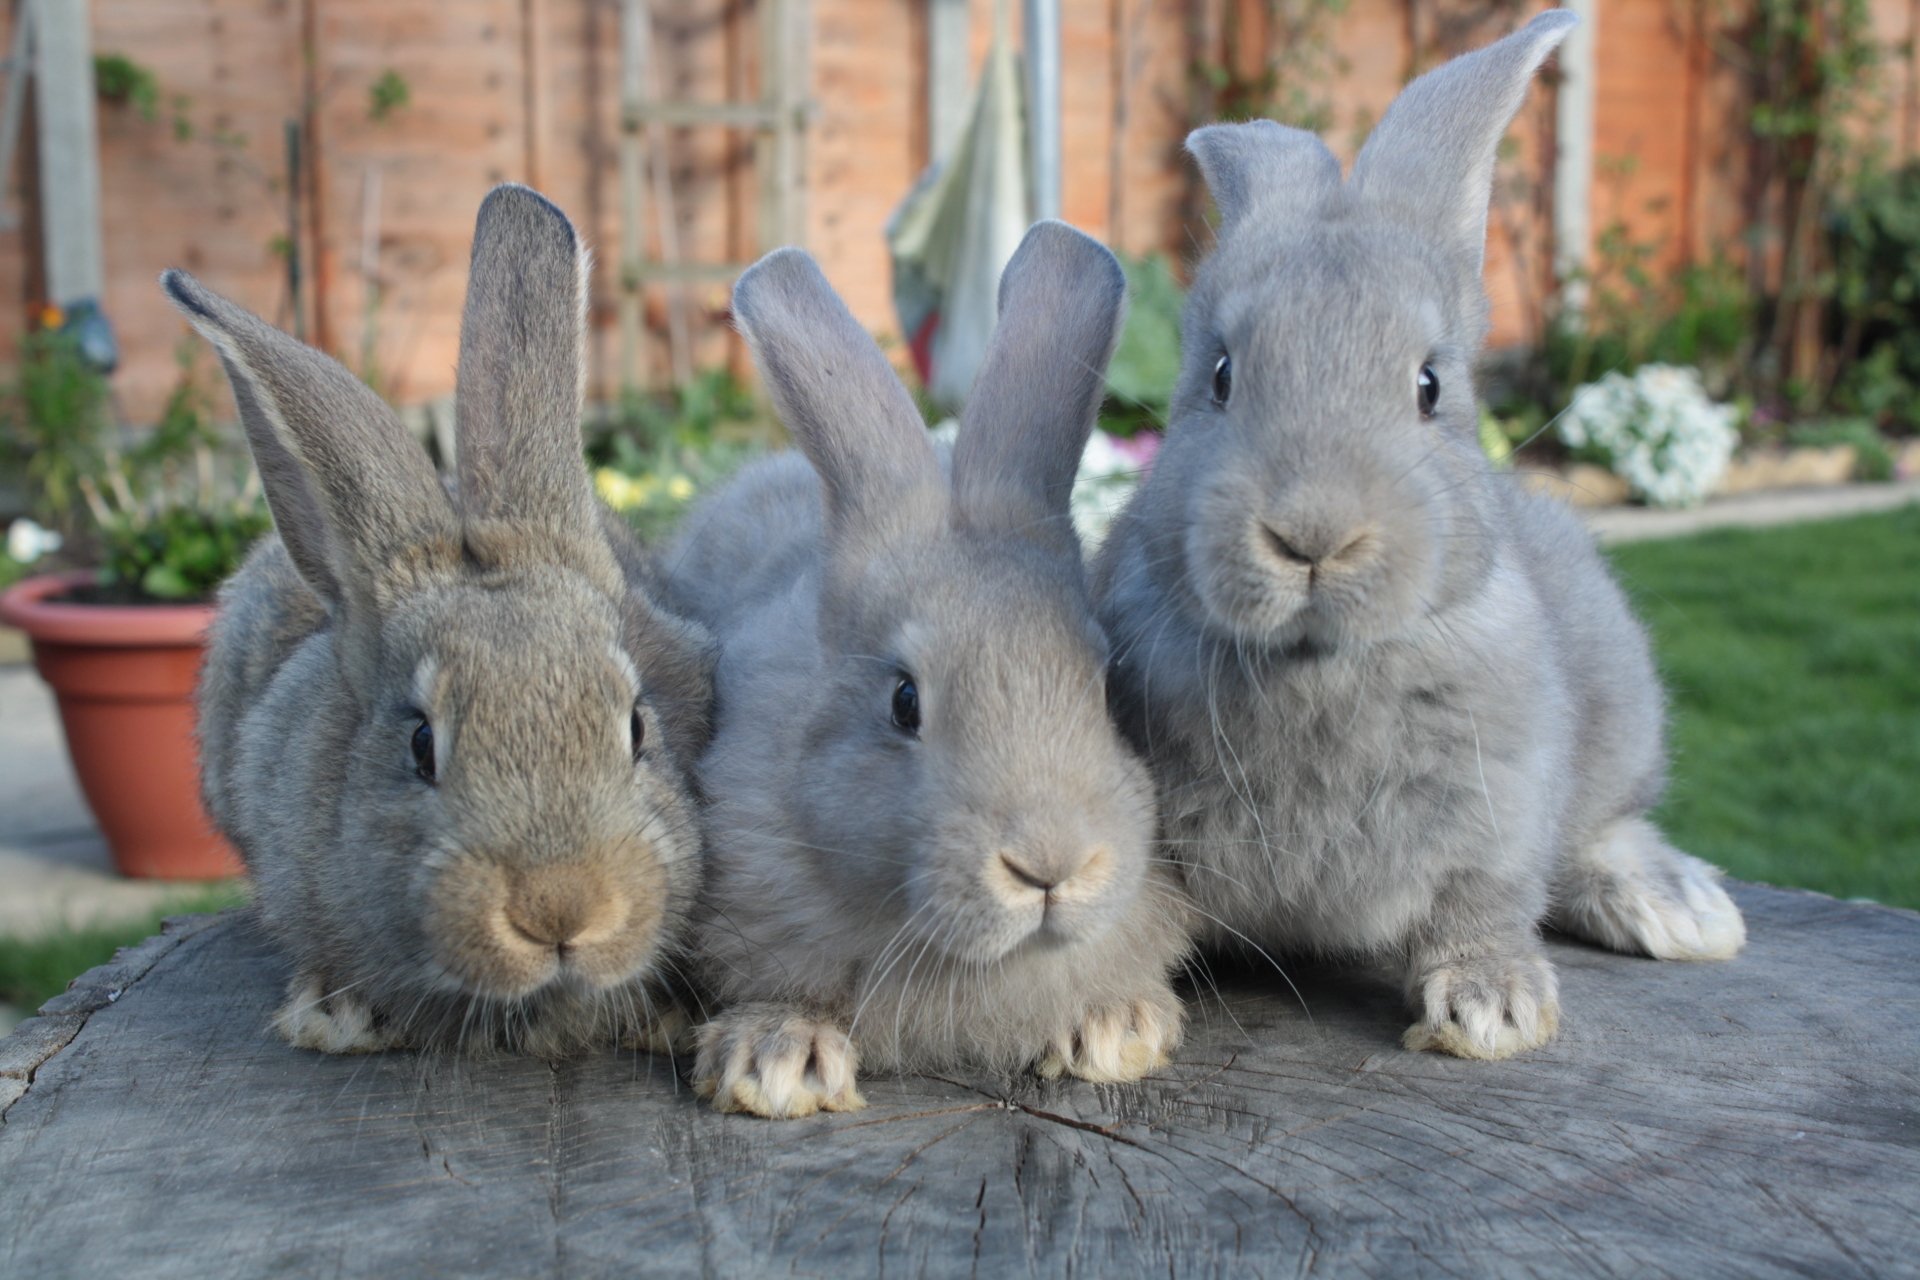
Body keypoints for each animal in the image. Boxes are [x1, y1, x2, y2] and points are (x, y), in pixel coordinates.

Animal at [1092, 10, 1745, 1063]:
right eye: (1221, 376)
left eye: (1431, 386)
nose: (1312, 535)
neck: (1316, 668)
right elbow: (1129, 921)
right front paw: (1109, 1027)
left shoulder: (1499, 810)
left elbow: (1480, 904)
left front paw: (1492, 1012)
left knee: (1602, 834)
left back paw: (1679, 911)